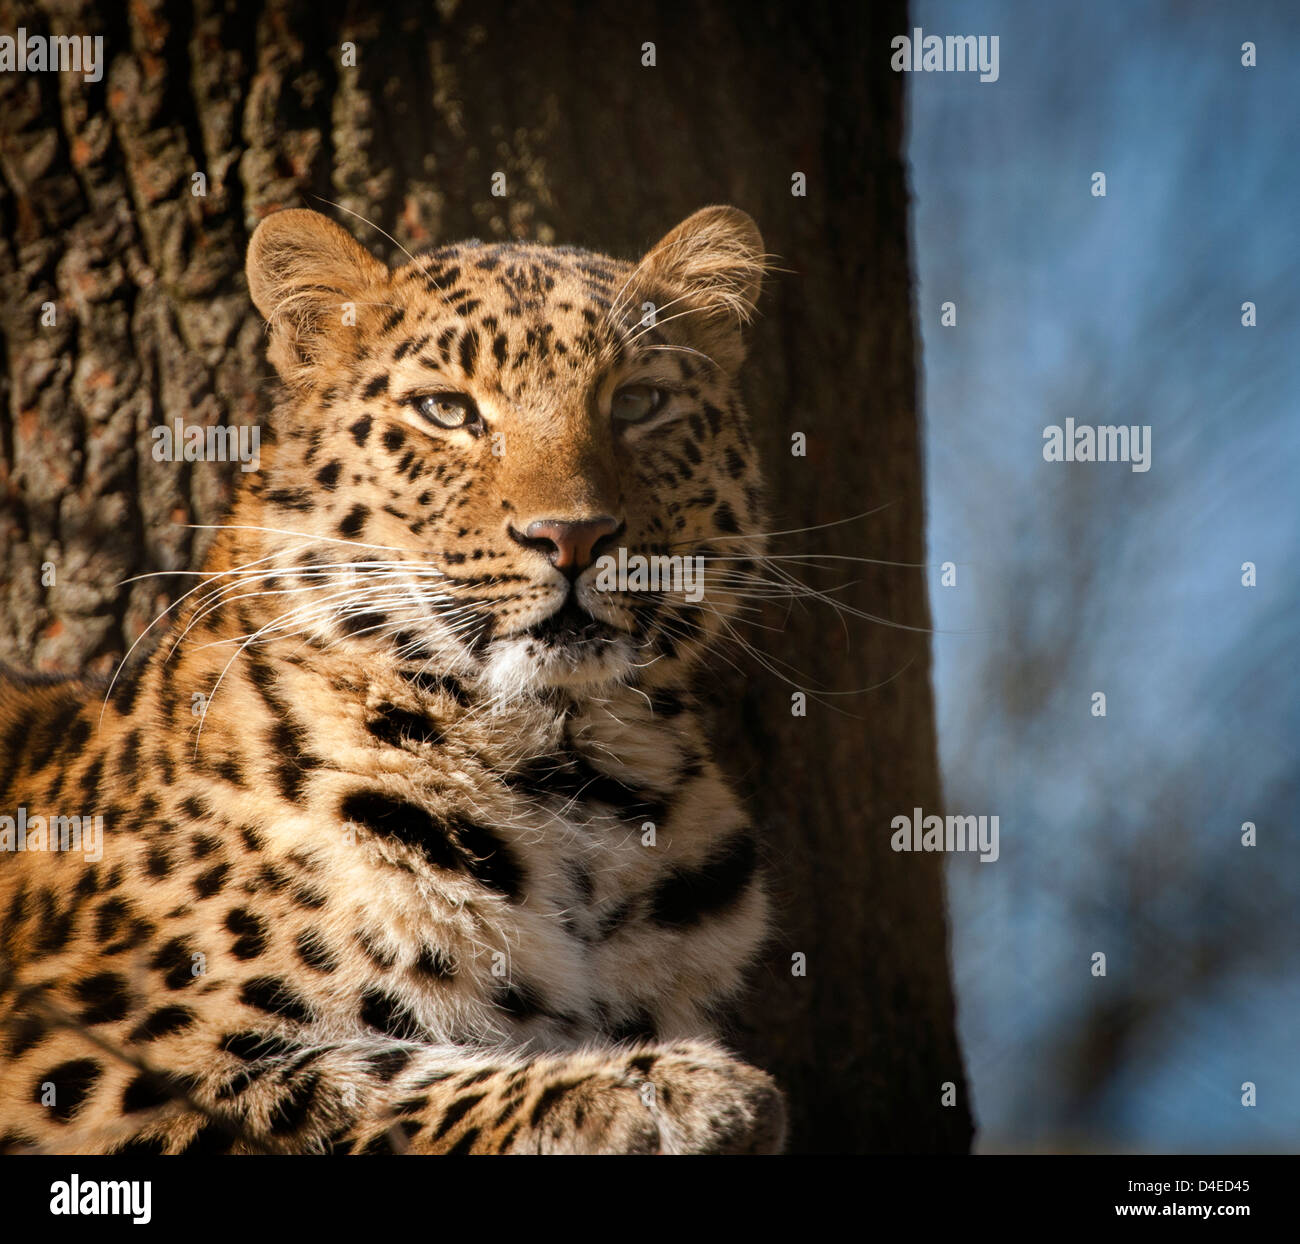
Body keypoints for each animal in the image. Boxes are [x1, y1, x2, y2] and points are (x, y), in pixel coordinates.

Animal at [0, 204, 785, 1154]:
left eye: (638, 402)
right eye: (446, 410)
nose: (573, 537)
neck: (579, 776)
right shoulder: (70, 1059)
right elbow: (353, 1084)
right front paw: (662, 1093)